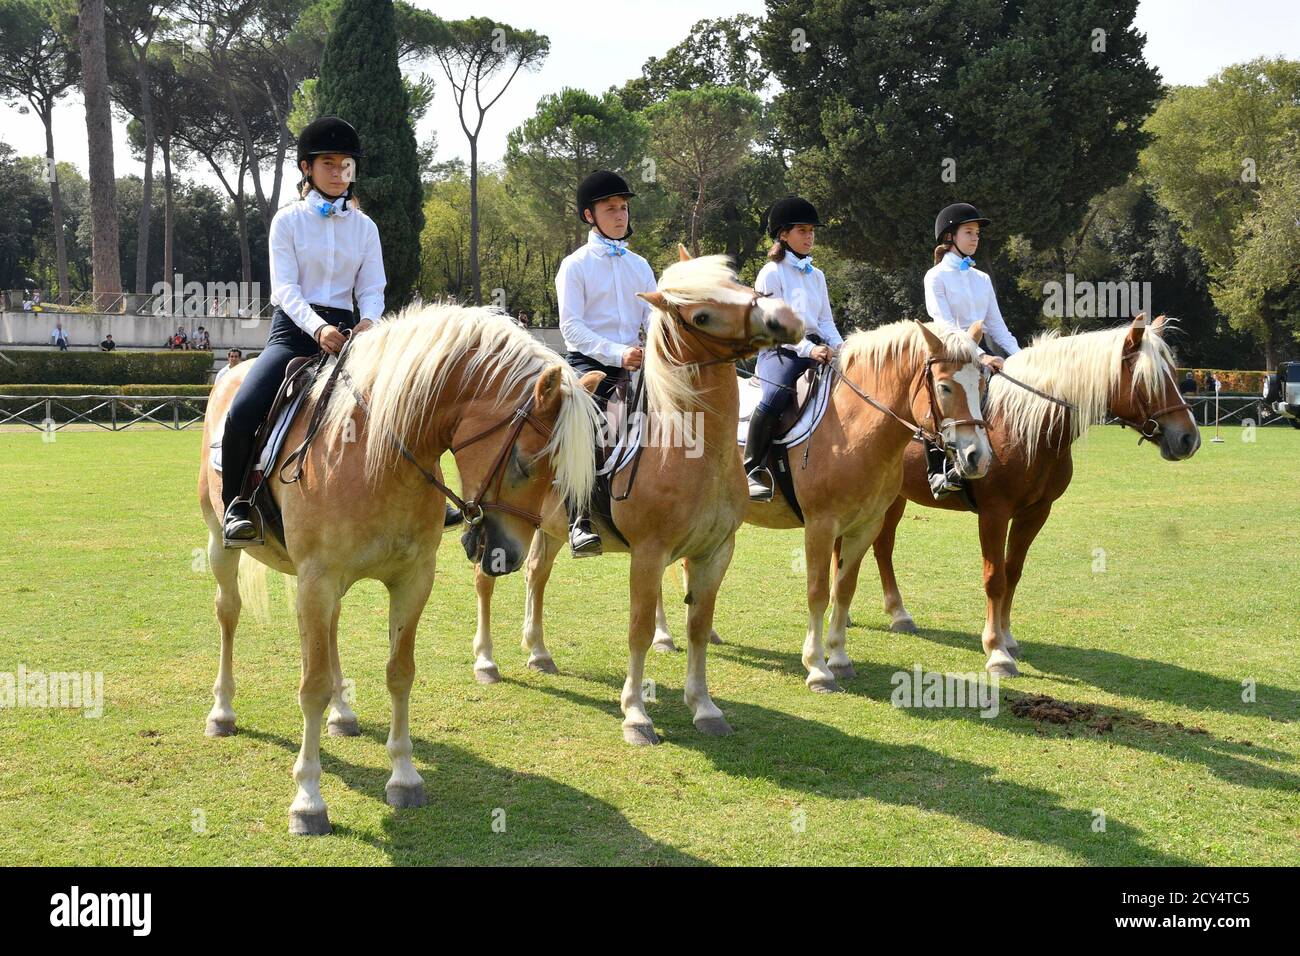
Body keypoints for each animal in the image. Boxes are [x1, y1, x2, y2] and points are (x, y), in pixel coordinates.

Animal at [198, 303, 602, 835]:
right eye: (523, 462)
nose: (508, 555)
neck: (374, 449)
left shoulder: (411, 580)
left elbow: (399, 673)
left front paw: (404, 777)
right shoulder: (317, 580)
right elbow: (311, 685)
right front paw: (308, 800)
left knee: (330, 631)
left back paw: (342, 714)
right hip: (223, 546)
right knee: (228, 614)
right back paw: (223, 711)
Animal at [470, 249, 804, 744]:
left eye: (736, 281)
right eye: (701, 315)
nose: (786, 318)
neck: (689, 448)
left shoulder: (715, 551)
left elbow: (699, 627)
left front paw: (704, 707)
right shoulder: (648, 554)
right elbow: (640, 630)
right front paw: (636, 714)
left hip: (544, 528)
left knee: (535, 575)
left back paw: (539, 653)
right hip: (496, 530)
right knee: (485, 581)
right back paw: (486, 662)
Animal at [870, 314, 1200, 675]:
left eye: (1174, 373)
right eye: (1149, 379)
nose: (1189, 438)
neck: (1025, 427)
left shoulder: (1036, 512)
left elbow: (1013, 571)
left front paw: (1007, 637)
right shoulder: (995, 513)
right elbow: (994, 577)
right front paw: (996, 651)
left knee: (882, 547)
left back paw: (899, 614)